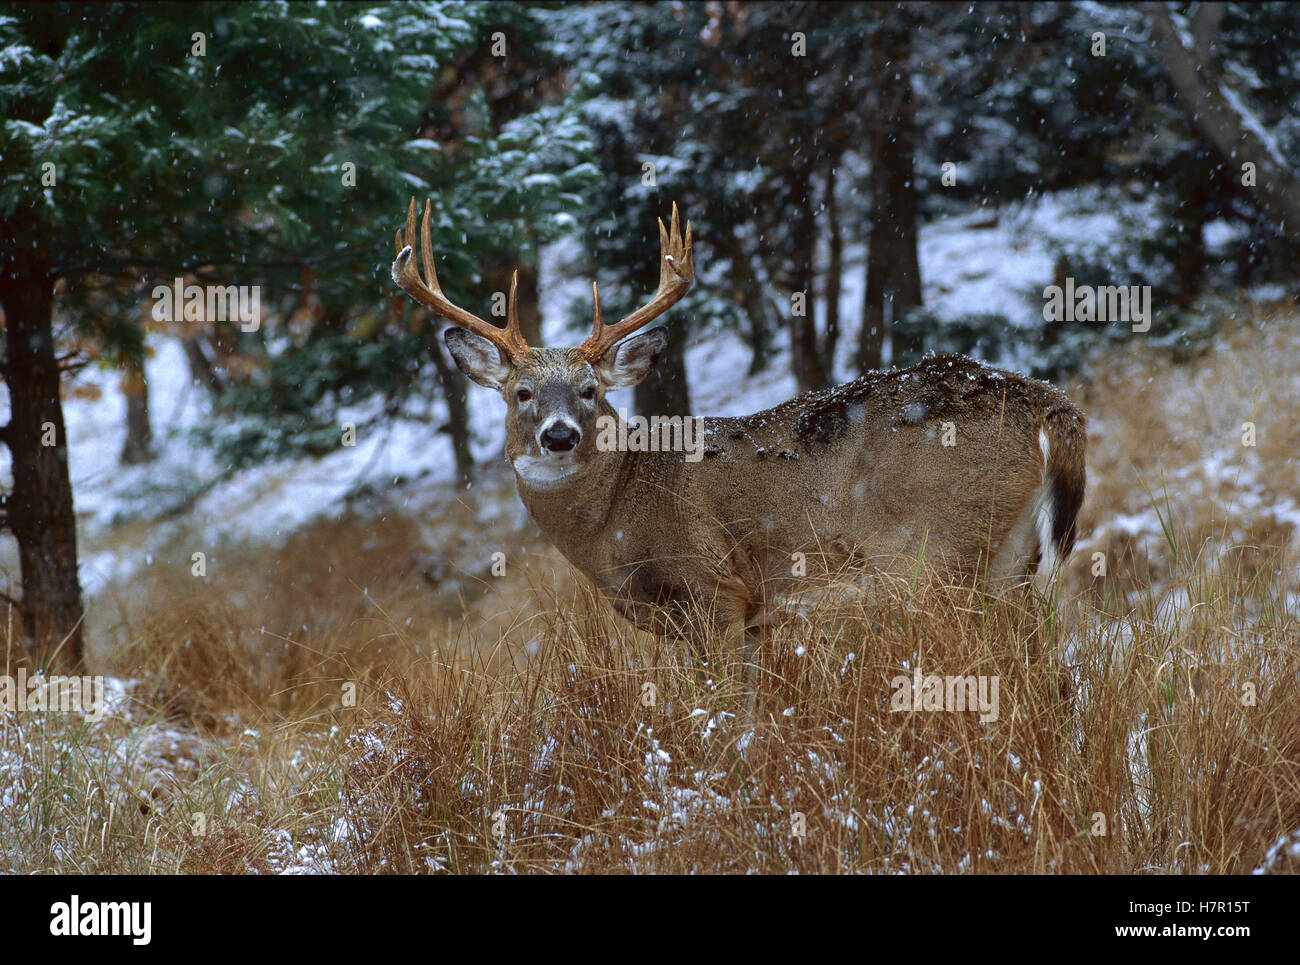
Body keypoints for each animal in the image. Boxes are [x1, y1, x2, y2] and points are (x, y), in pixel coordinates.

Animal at [391, 198, 1087, 677]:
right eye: (521, 394)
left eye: (590, 391)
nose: (558, 435)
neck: (618, 517)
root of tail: (1051, 406)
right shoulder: (753, 618)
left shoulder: (714, 591)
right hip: (1016, 560)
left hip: (938, 551)